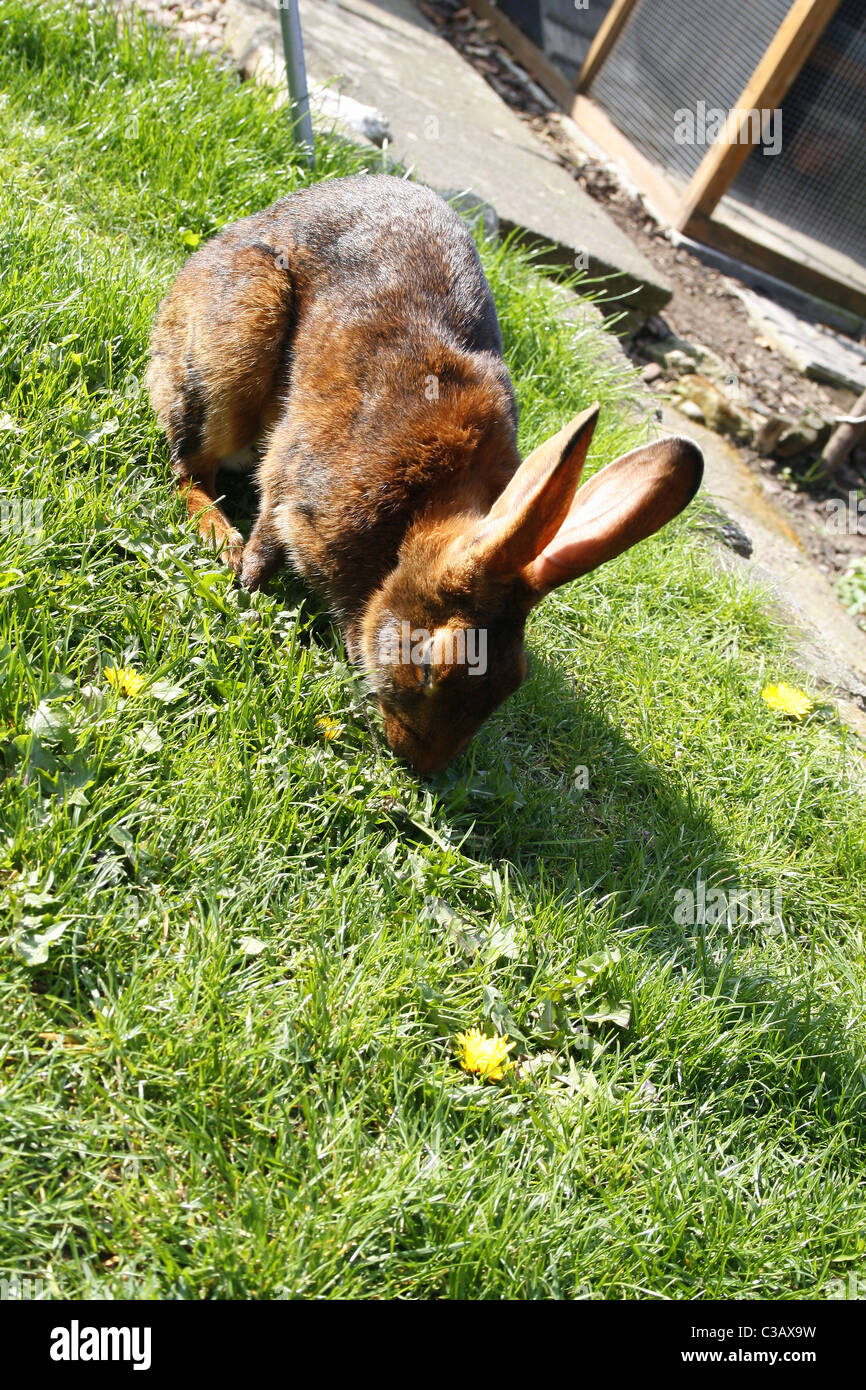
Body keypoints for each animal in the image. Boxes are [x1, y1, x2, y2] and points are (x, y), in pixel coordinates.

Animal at [147, 175, 702, 775]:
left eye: (514, 681)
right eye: (435, 664)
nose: (421, 764)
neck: (412, 522)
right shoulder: (294, 482)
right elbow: (267, 542)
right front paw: (246, 589)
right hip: (237, 345)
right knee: (188, 464)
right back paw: (217, 533)